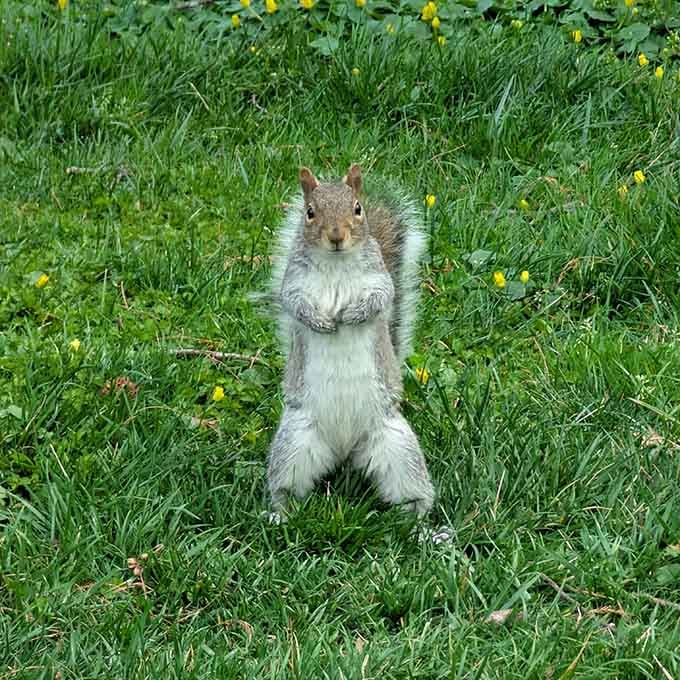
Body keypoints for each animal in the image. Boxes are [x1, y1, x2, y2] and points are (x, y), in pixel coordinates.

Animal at [263, 164, 435, 518]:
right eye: (310, 212)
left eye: (357, 209)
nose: (336, 236)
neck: (336, 263)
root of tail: (345, 450)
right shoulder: (294, 284)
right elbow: (295, 304)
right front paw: (321, 322)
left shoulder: (379, 279)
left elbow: (380, 298)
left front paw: (352, 315)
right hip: (294, 445)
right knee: (285, 488)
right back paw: (279, 516)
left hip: (398, 448)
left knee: (412, 494)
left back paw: (424, 526)